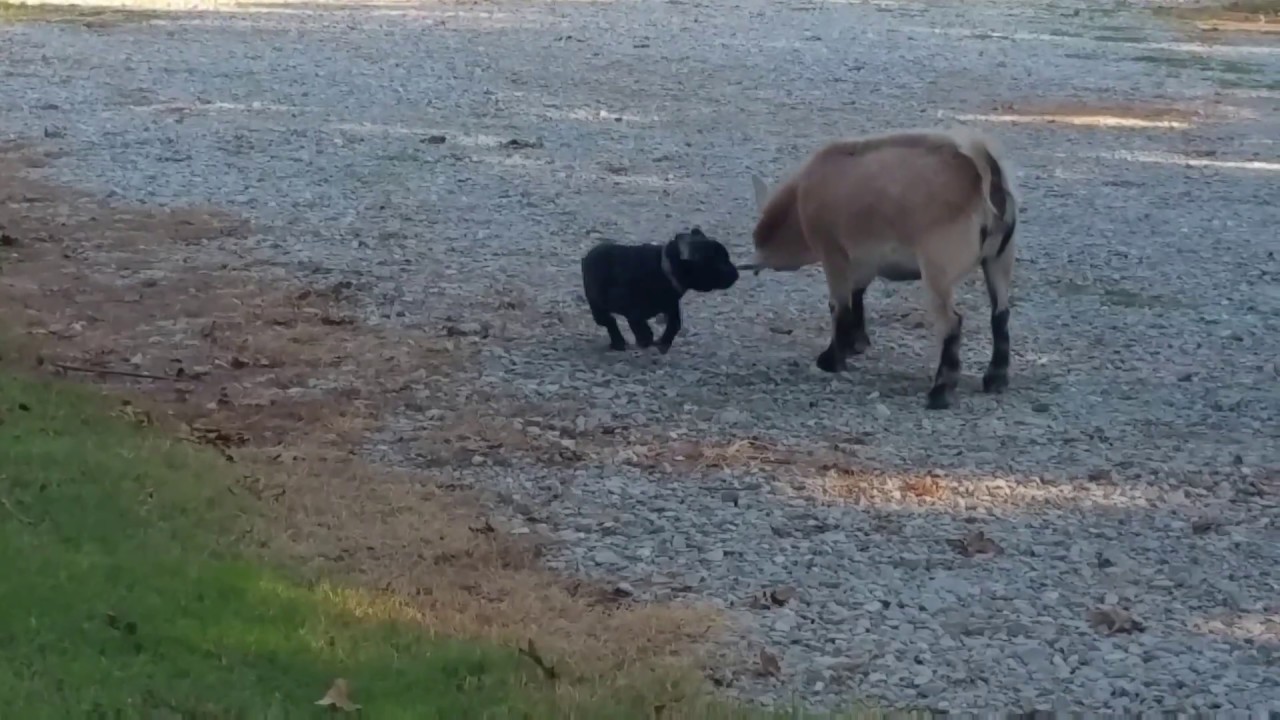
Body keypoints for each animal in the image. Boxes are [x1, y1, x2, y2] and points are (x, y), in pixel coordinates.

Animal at [740, 127, 1020, 409]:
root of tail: (984, 175)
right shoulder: (864, 261)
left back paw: (941, 391)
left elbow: (839, 306)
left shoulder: (833, 253)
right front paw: (857, 344)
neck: (800, 202)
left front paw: (831, 359)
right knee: (1000, 313)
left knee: (951, 322)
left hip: (936, 268)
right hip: (998, 259)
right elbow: (856, 296)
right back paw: (995, 378)